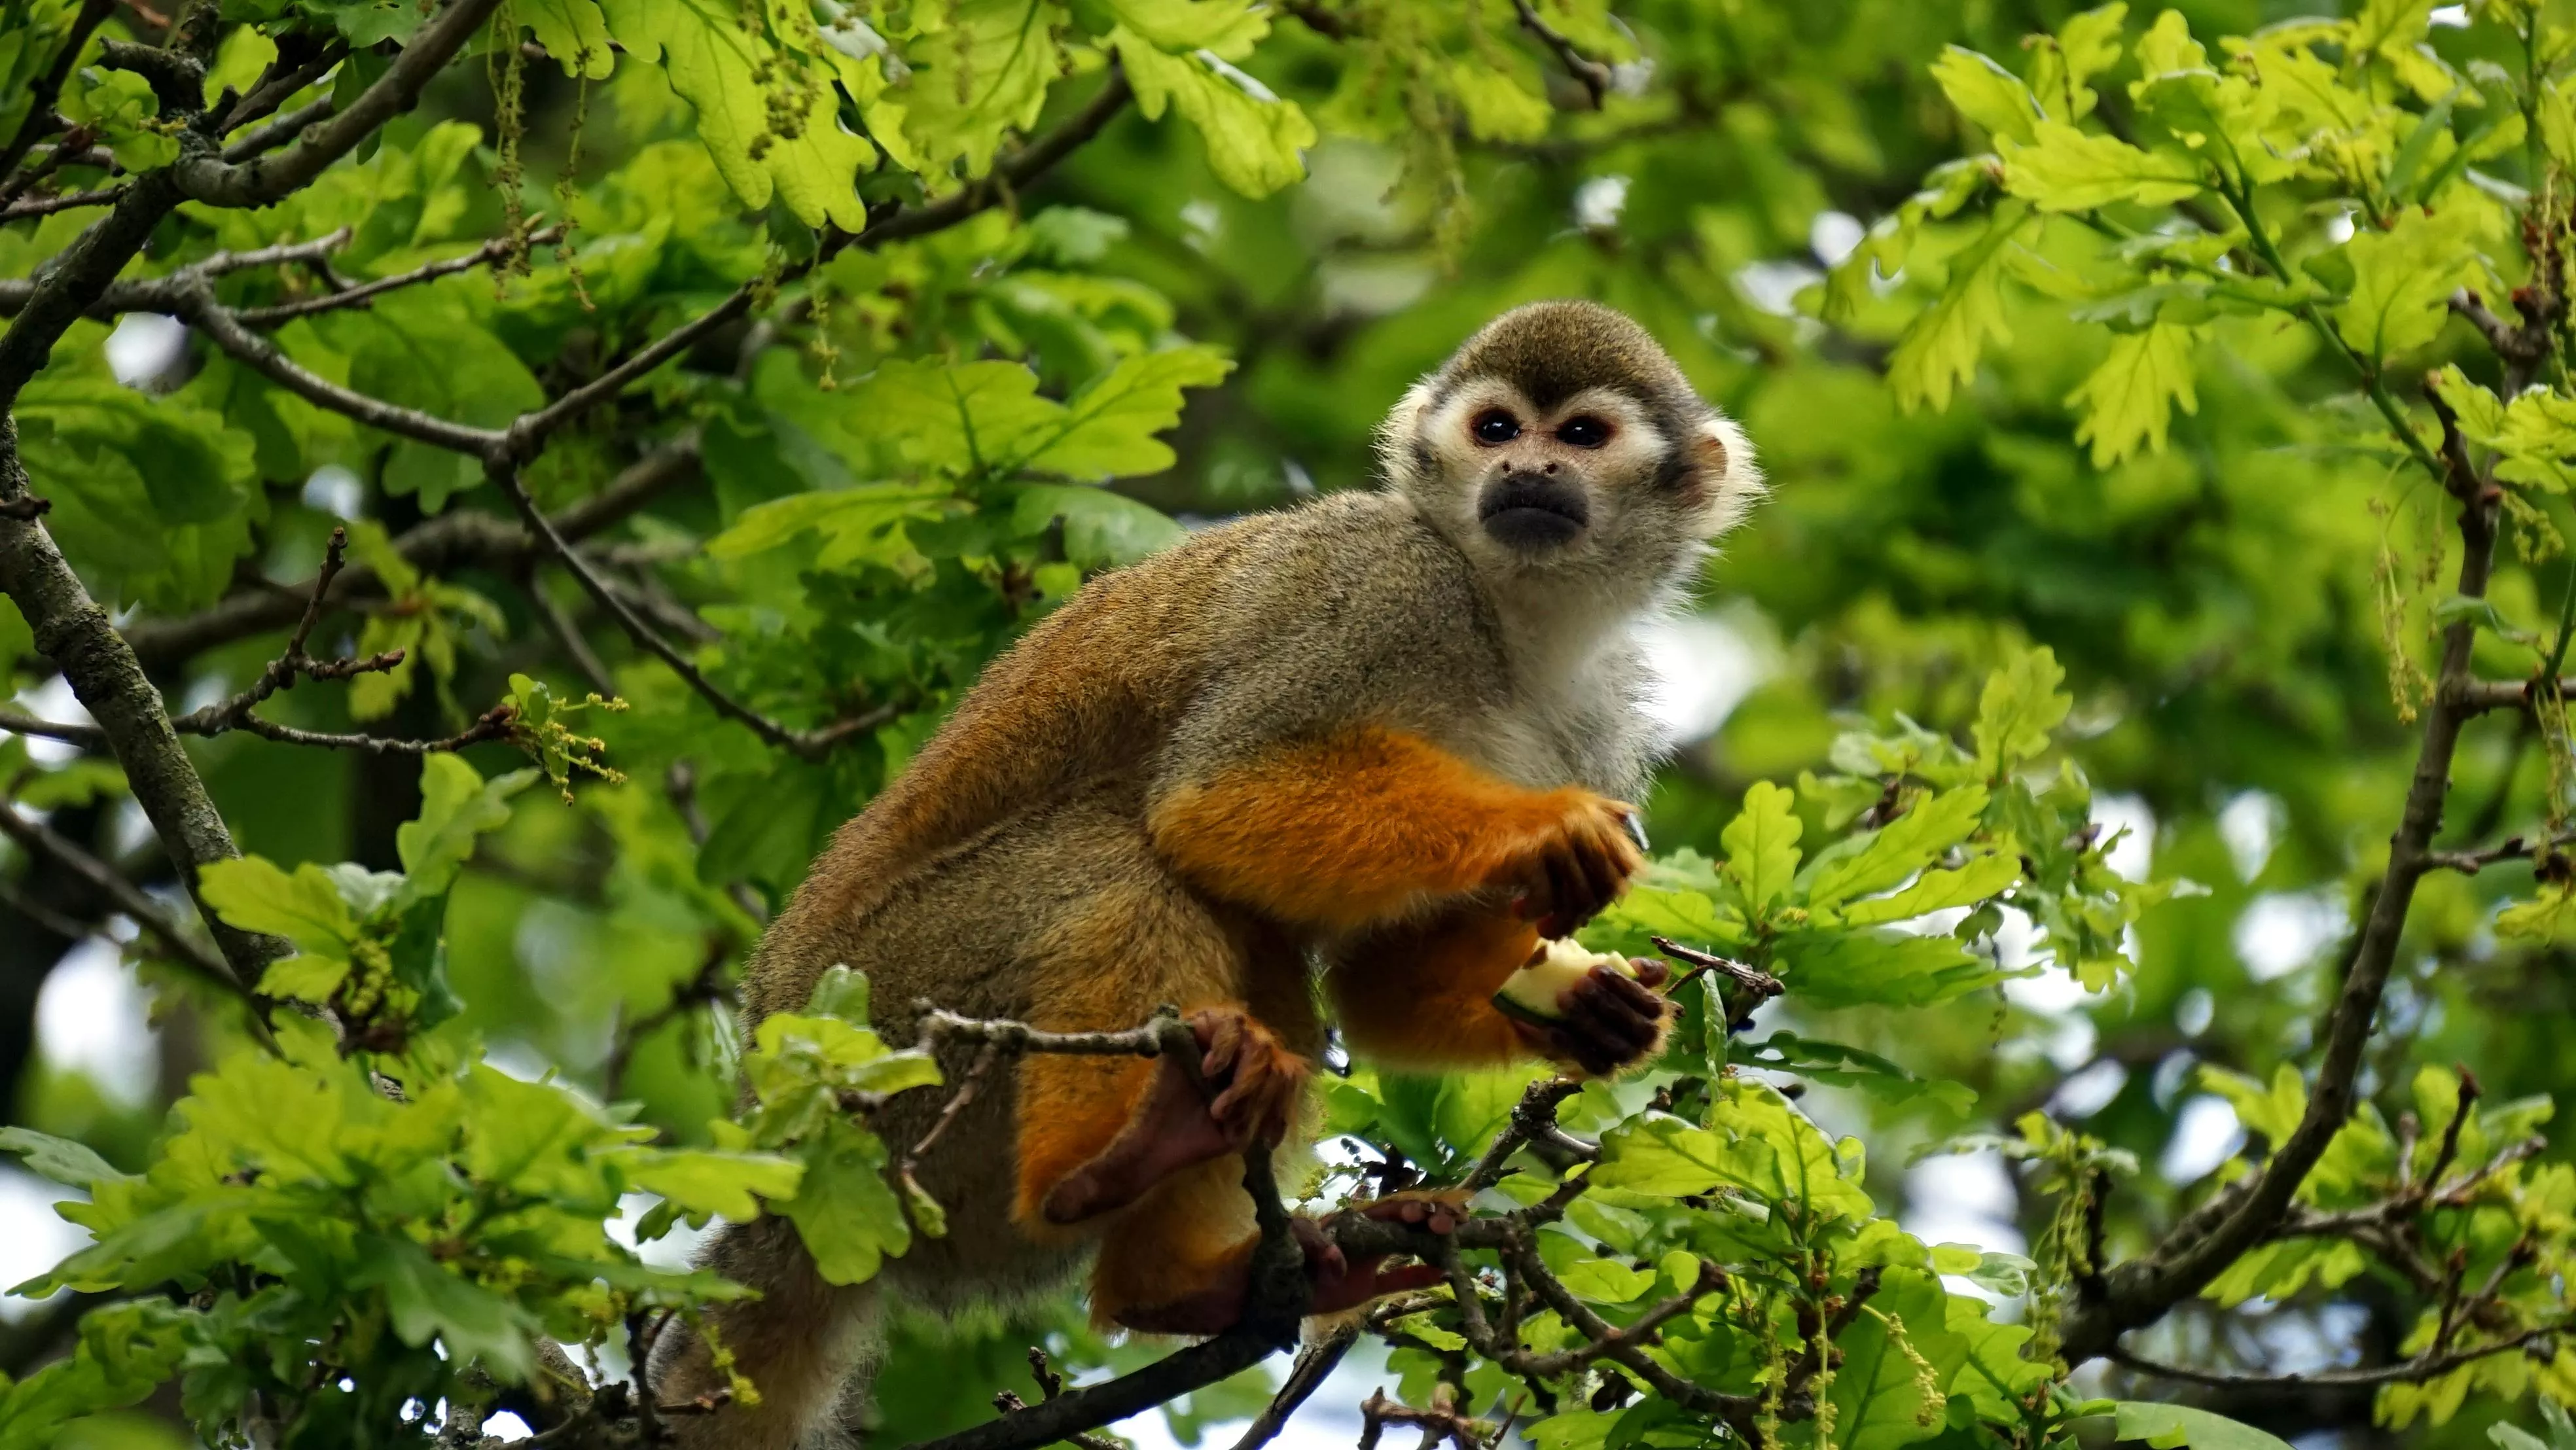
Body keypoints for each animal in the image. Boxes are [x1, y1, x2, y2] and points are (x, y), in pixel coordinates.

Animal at [648, 300, 1764, 1449]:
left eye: (1581, 437)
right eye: (1496, 428)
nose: (1529, 470)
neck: (1513, 621)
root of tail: (783, 1125)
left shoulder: (1604, 717)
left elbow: (1375, 984)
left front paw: (1589, 1014)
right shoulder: (1381, 584)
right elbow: (1211, 795)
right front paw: (1542, 832)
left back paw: (1180, 1278)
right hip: (887, 1025)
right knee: (1124, 858)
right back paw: (1103, 1167)